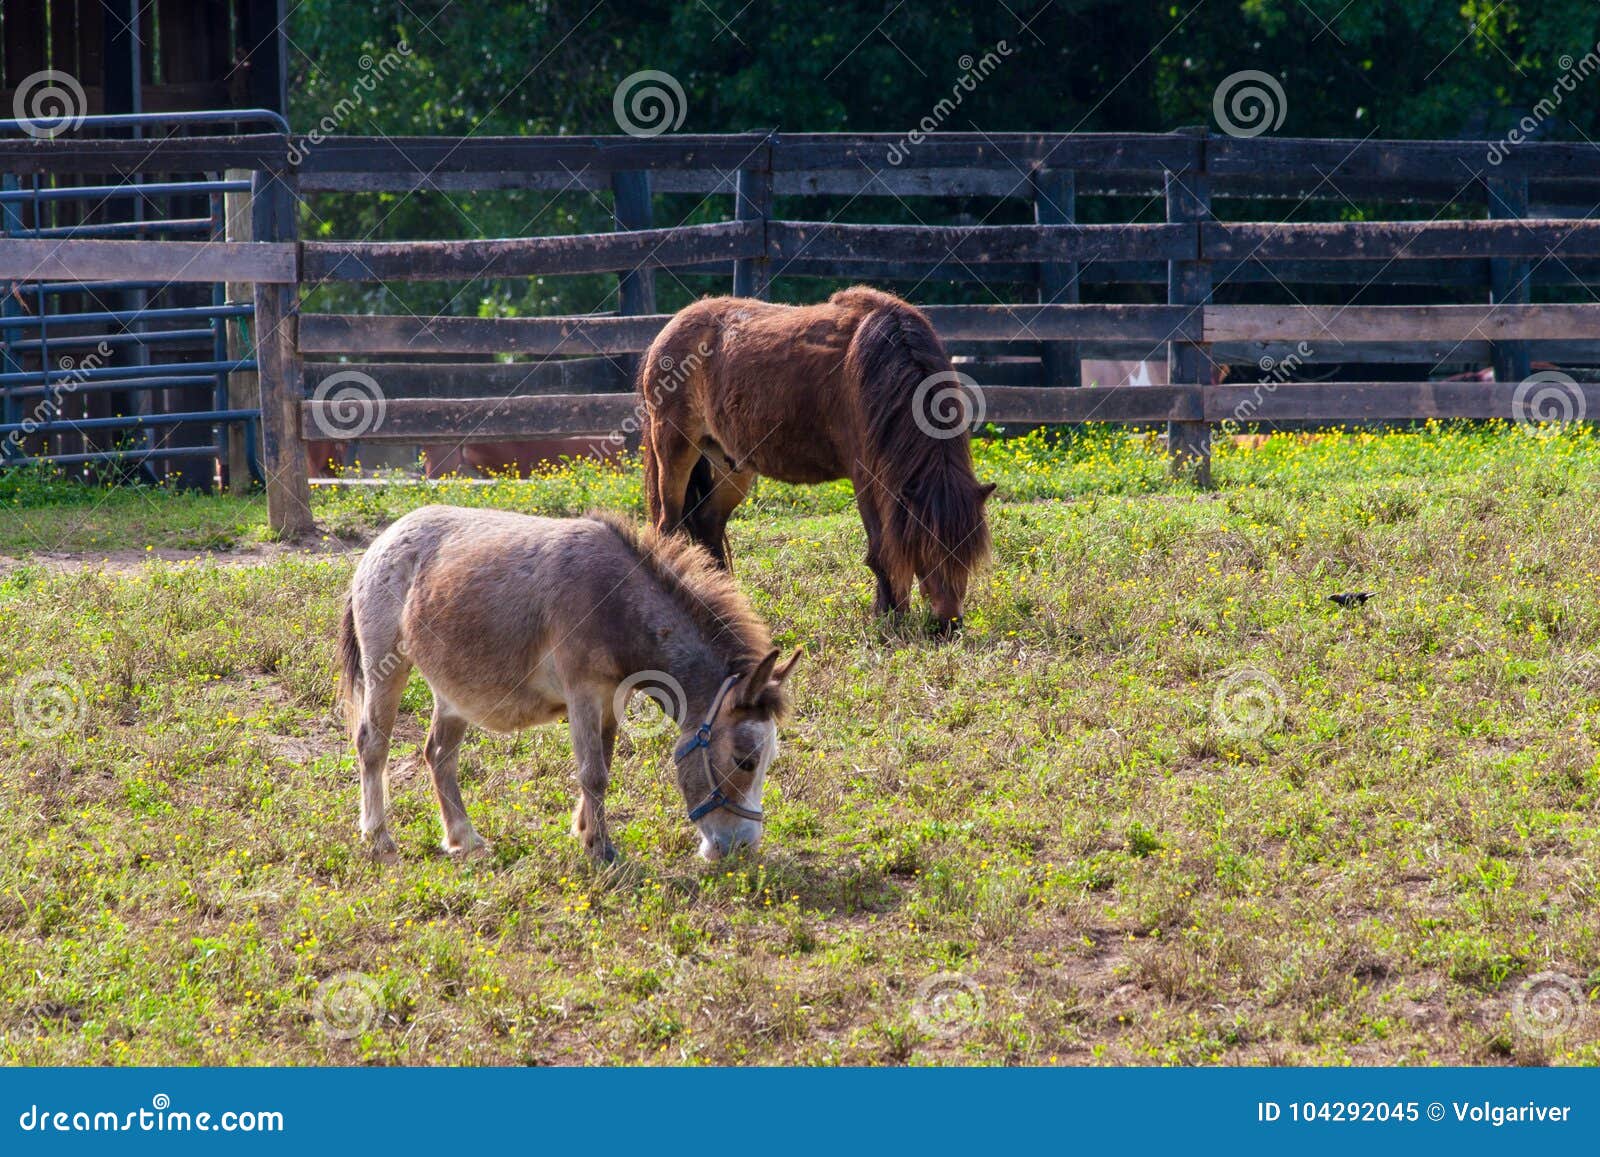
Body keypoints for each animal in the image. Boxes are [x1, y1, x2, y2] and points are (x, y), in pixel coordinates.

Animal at [337, 504, 801, 863]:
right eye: (745, 761)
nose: (742, 848)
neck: (616, 603)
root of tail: (385, 538)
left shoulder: (611, 700)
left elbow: (603, 763)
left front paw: (585, 830)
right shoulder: (583, 696)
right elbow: (593, 773)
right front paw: (600, 848)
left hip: (453, 691)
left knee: (438, 755)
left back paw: (462, 837)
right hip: (386, 670)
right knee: (372, 746)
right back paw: (379, 838)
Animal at [638, 286, 995, 632]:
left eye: (969, 553)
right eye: (925, 550)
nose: (948, 625)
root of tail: (669, 329)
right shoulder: (866, 477)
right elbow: (882, 550)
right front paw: (890, 617)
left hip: (730, 464)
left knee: (708, 524)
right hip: (675, 451)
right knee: (668, 527)